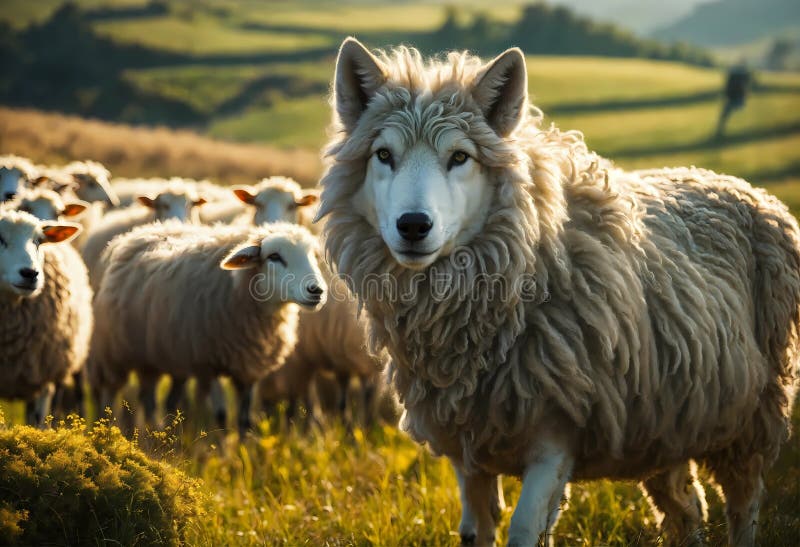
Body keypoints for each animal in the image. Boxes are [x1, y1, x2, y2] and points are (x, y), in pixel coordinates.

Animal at [88, 221, 327, 435]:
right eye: (274, 256)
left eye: (313, 256)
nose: (316, 290)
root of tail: (138, 232)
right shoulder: (209, 362)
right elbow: (221, 416)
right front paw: (225, 454)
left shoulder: (248, 367)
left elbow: (244, 420)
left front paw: (244, 453)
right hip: (113, 352)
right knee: (111, 392)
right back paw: (109, 429)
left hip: (157, 355)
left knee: (152, 400)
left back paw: (155, 436)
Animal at [317, 37, 800, 546]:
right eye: (383, 155)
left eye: (460, 157)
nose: (412, 225)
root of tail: (732, 182)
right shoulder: (467, 445)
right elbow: (477, 531)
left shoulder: (557, 434)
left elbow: (525, 529)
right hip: (666, 424)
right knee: (687, 510)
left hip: (754, 415)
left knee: (743, 505)